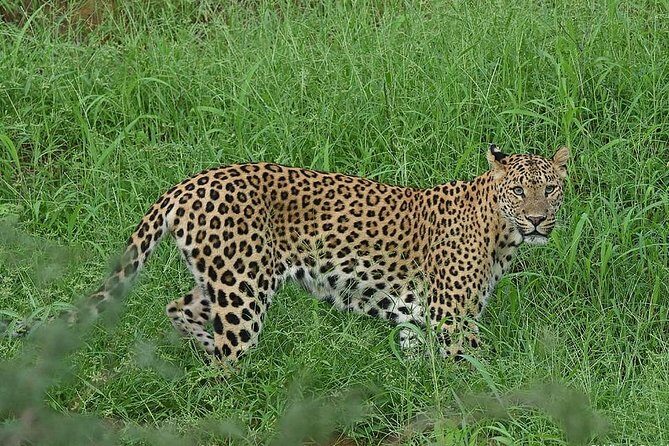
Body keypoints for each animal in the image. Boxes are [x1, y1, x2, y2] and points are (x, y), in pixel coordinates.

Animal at [85, 144, 569, 361]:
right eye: (519, 191)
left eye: (549, 188)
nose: (537, 220)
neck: (501, 234)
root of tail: (188, 183)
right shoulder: (453, 320)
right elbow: (472, 372)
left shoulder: (419, 319)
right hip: (243, 291)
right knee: (227, 360)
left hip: (225, 279)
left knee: (177, 308)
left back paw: (202, 348)